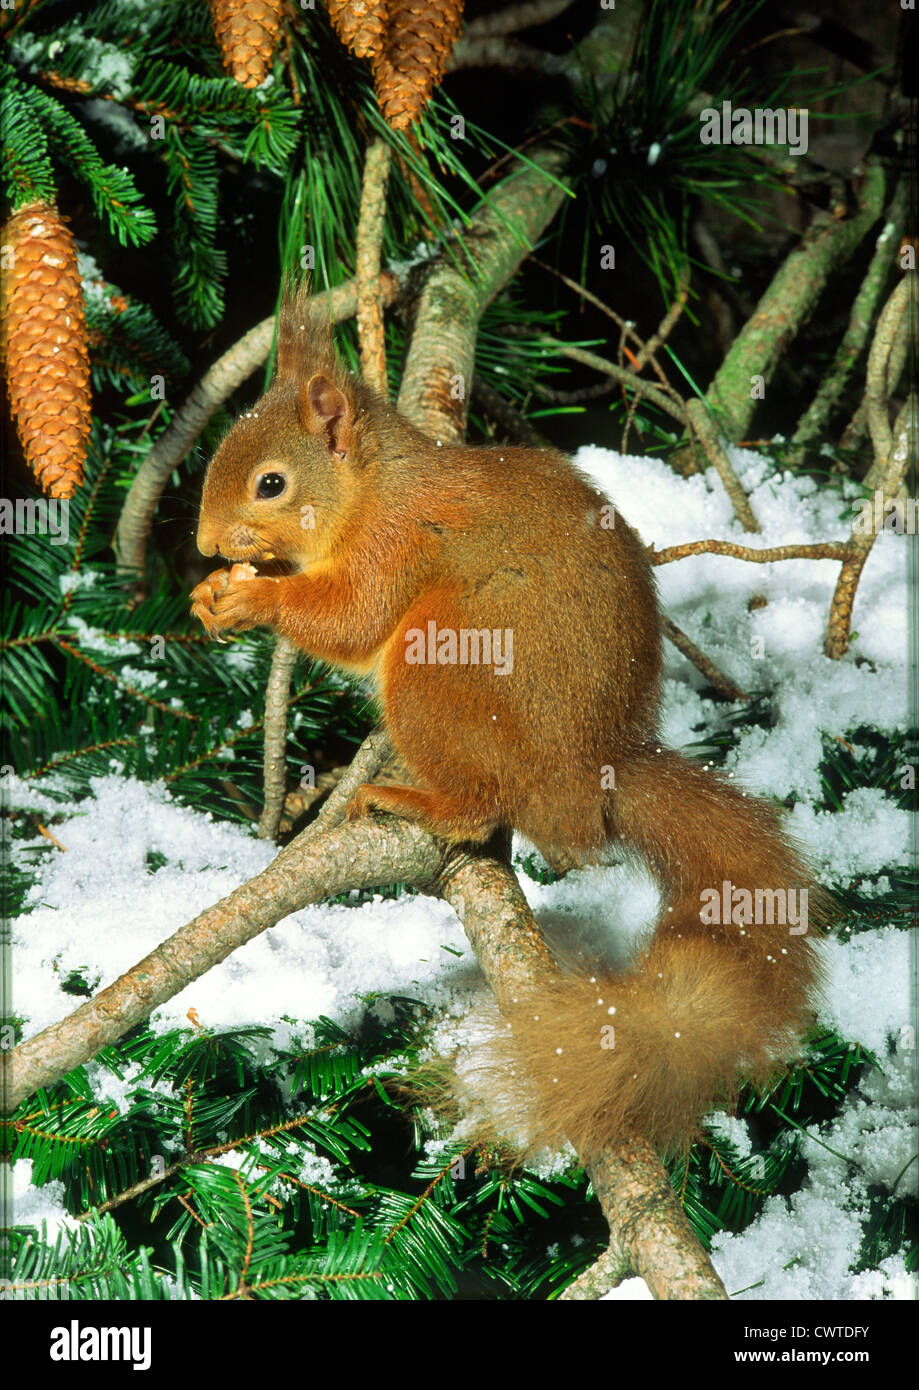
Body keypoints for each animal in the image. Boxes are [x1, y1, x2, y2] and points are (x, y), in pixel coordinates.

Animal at [191, 284, 828, 1159]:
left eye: (270, 484)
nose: (202, 543)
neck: (371, 492)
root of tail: (595, 772)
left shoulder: (394, 548)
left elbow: (351, 622)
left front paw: (254, 600)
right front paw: (209, 595)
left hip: (437, 664)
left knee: (484, 802)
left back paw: (416, 799)